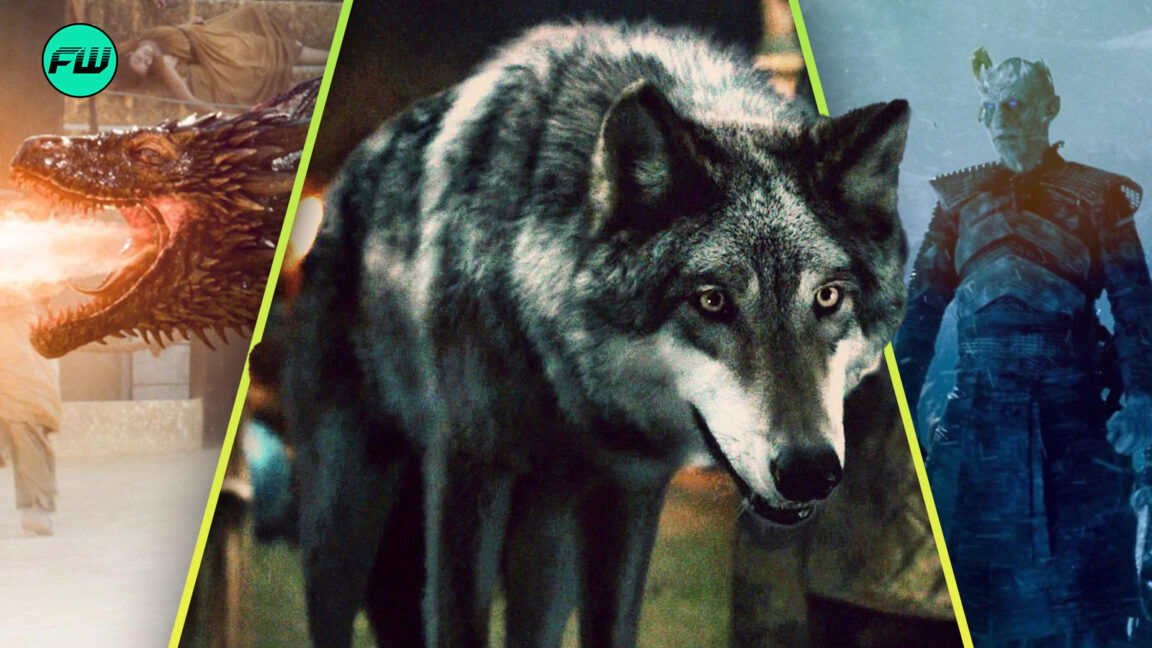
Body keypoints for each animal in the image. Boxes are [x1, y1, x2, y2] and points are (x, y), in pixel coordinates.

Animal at [283, 22, 910, 648]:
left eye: (827, 297)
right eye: (712, 300)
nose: (809, 471)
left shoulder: (632, 494)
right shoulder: (466, 476)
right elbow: (458, 623)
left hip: (547, 550)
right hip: (341, 528)